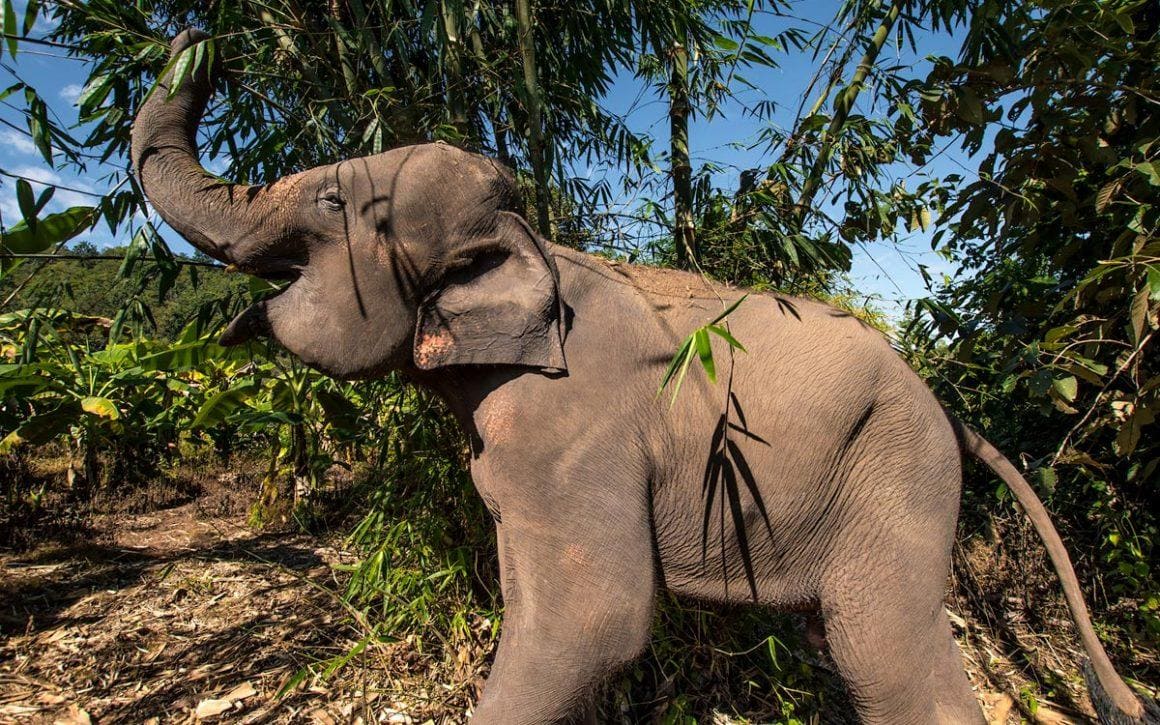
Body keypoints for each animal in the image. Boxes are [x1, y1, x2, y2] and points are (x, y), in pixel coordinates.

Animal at [131, 29, 1156, 725]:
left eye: (332, 200)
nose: (202, 40)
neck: (538, 244)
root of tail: (948, 409)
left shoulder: (571, 427)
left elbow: (595, 620)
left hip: (899, 475)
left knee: (882, 648)